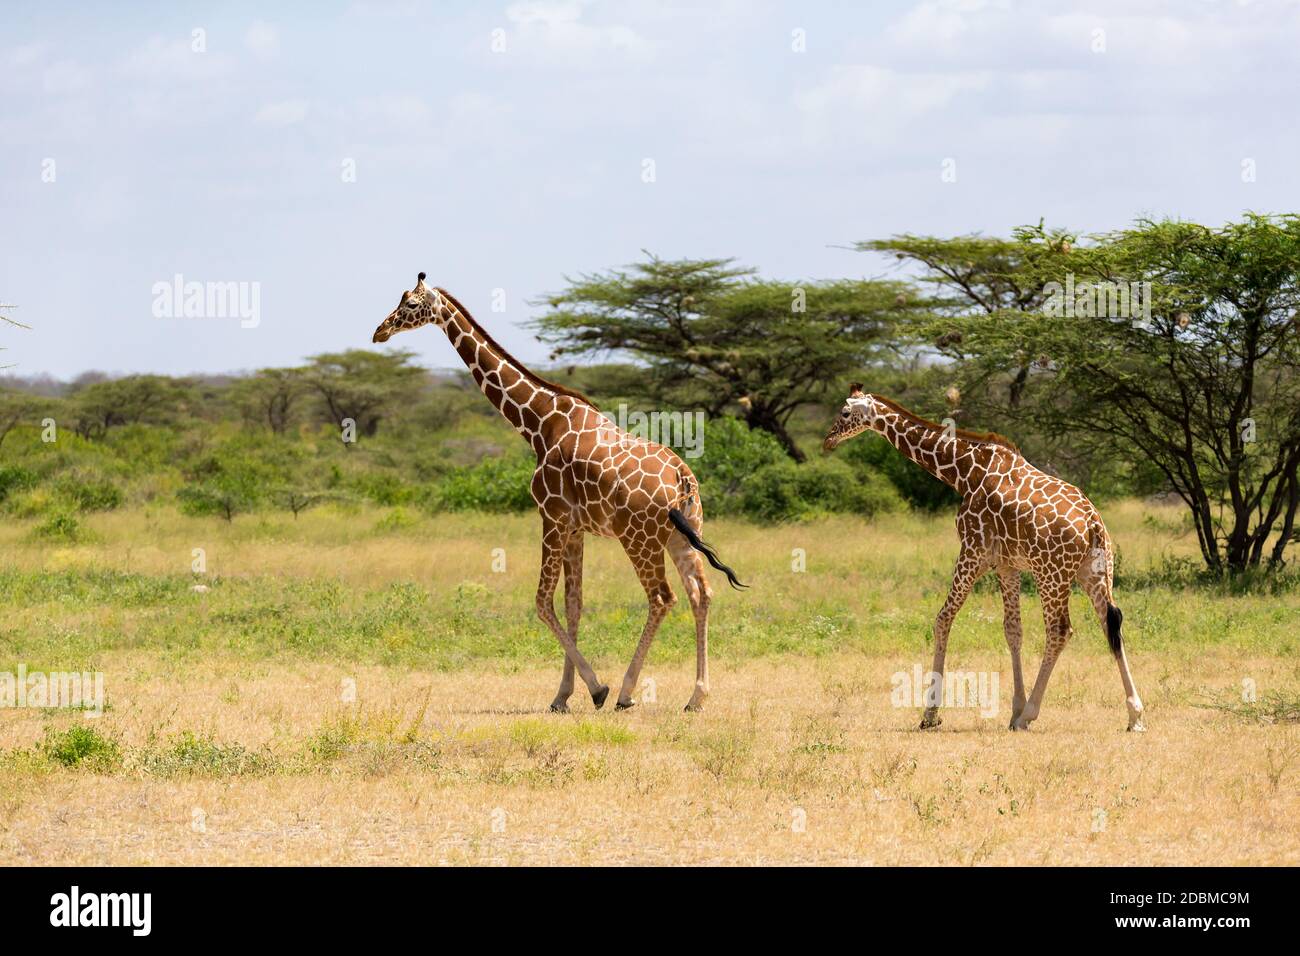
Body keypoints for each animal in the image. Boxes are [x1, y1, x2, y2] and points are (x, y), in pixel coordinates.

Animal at [372, 274, 746, 713]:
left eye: (411, 304)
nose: (380, 331)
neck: (537, 423)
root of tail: (682, 476)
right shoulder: (575, 527)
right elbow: (573, 604)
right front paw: (564, 695)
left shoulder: (551, 517)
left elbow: (541, 601)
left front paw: (596, 689)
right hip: (682, 535)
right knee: (700, 594)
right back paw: (696, 696)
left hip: (639, 539)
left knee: (662, 597)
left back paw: (626, 693)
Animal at [823, 385, 1144, 732]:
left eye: (844, 413)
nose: (828, 440)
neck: (964, 472)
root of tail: (1092, 522)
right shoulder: (1007, 564)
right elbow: (1013, 630)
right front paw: (1013, 709)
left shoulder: (973, 551)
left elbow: (942, 619)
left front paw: (930, 714)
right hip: (1095, 571)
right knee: (1111, 622)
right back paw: (1135, 715)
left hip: (1051, 574)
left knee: (1060, 630)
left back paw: (1031, 714)